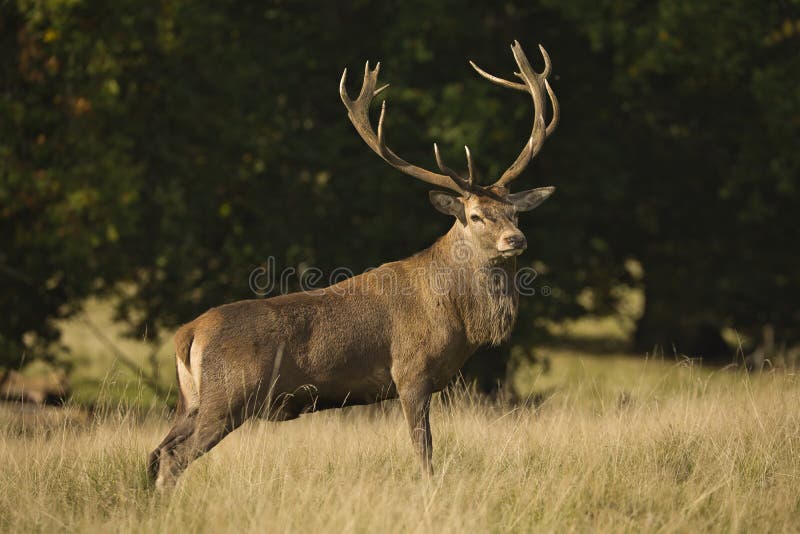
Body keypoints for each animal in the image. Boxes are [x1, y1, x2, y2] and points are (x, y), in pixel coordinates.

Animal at [147, 41, 559, 489]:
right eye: (475, 215)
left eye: (515, 212)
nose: (515, 240)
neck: (459, 319)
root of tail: (188, 334)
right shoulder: (410, 370)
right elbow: (425, 451)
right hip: (229, 397)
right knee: (173, 457)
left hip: (192, 402)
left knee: (156, 451)